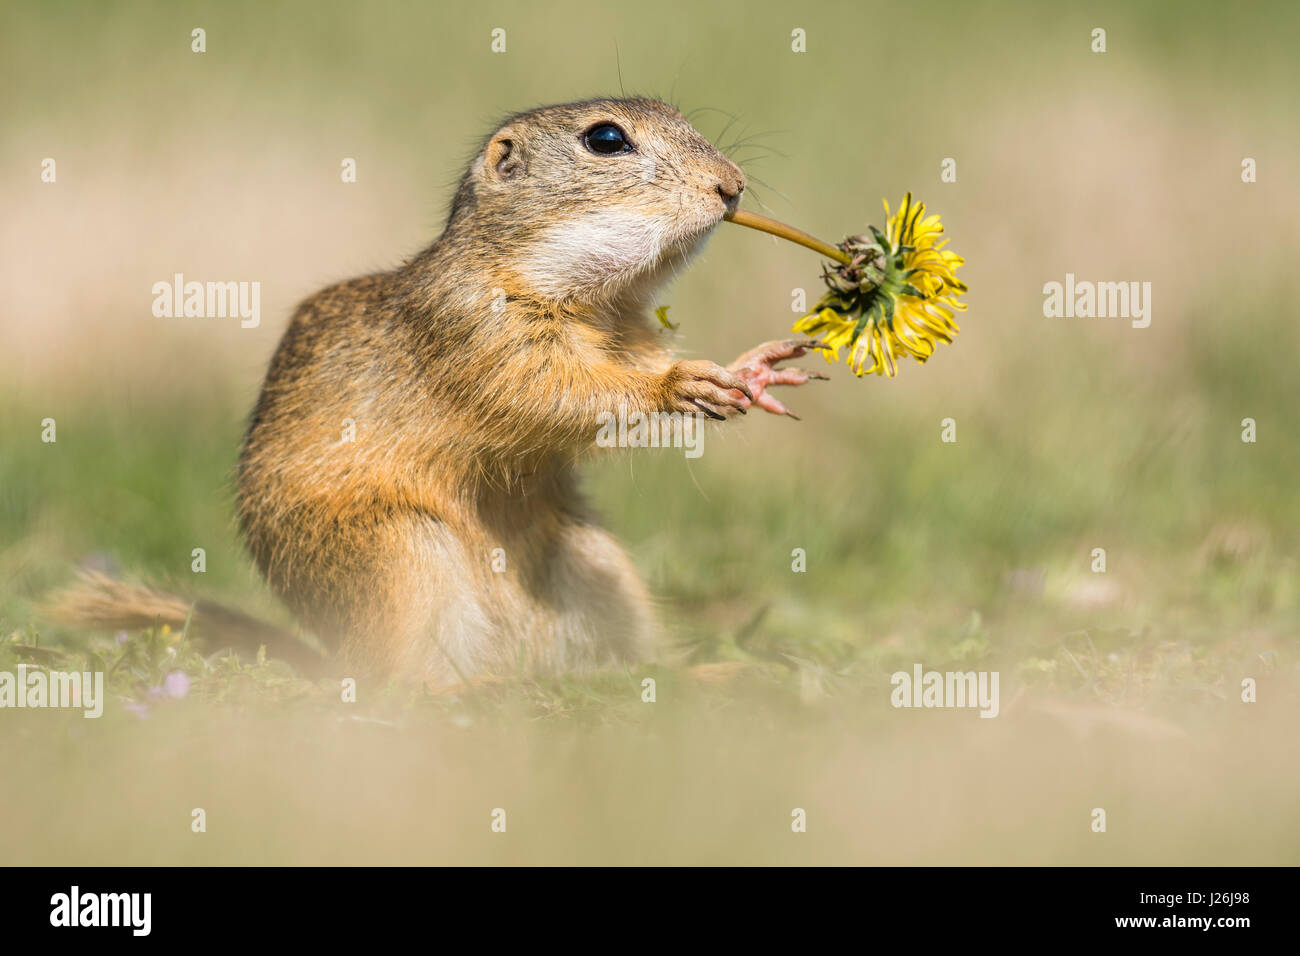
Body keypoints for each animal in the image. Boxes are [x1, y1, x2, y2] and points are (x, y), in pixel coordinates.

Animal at [54, 98, 826, 686]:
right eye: (606, 139)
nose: (732, 185)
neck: (586, 301)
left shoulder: (628, 332)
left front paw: (755, 369)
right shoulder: (480, 334)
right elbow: (560, 393)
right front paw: (683, 382)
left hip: (596, 563)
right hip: (403, 555)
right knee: (395, 687)